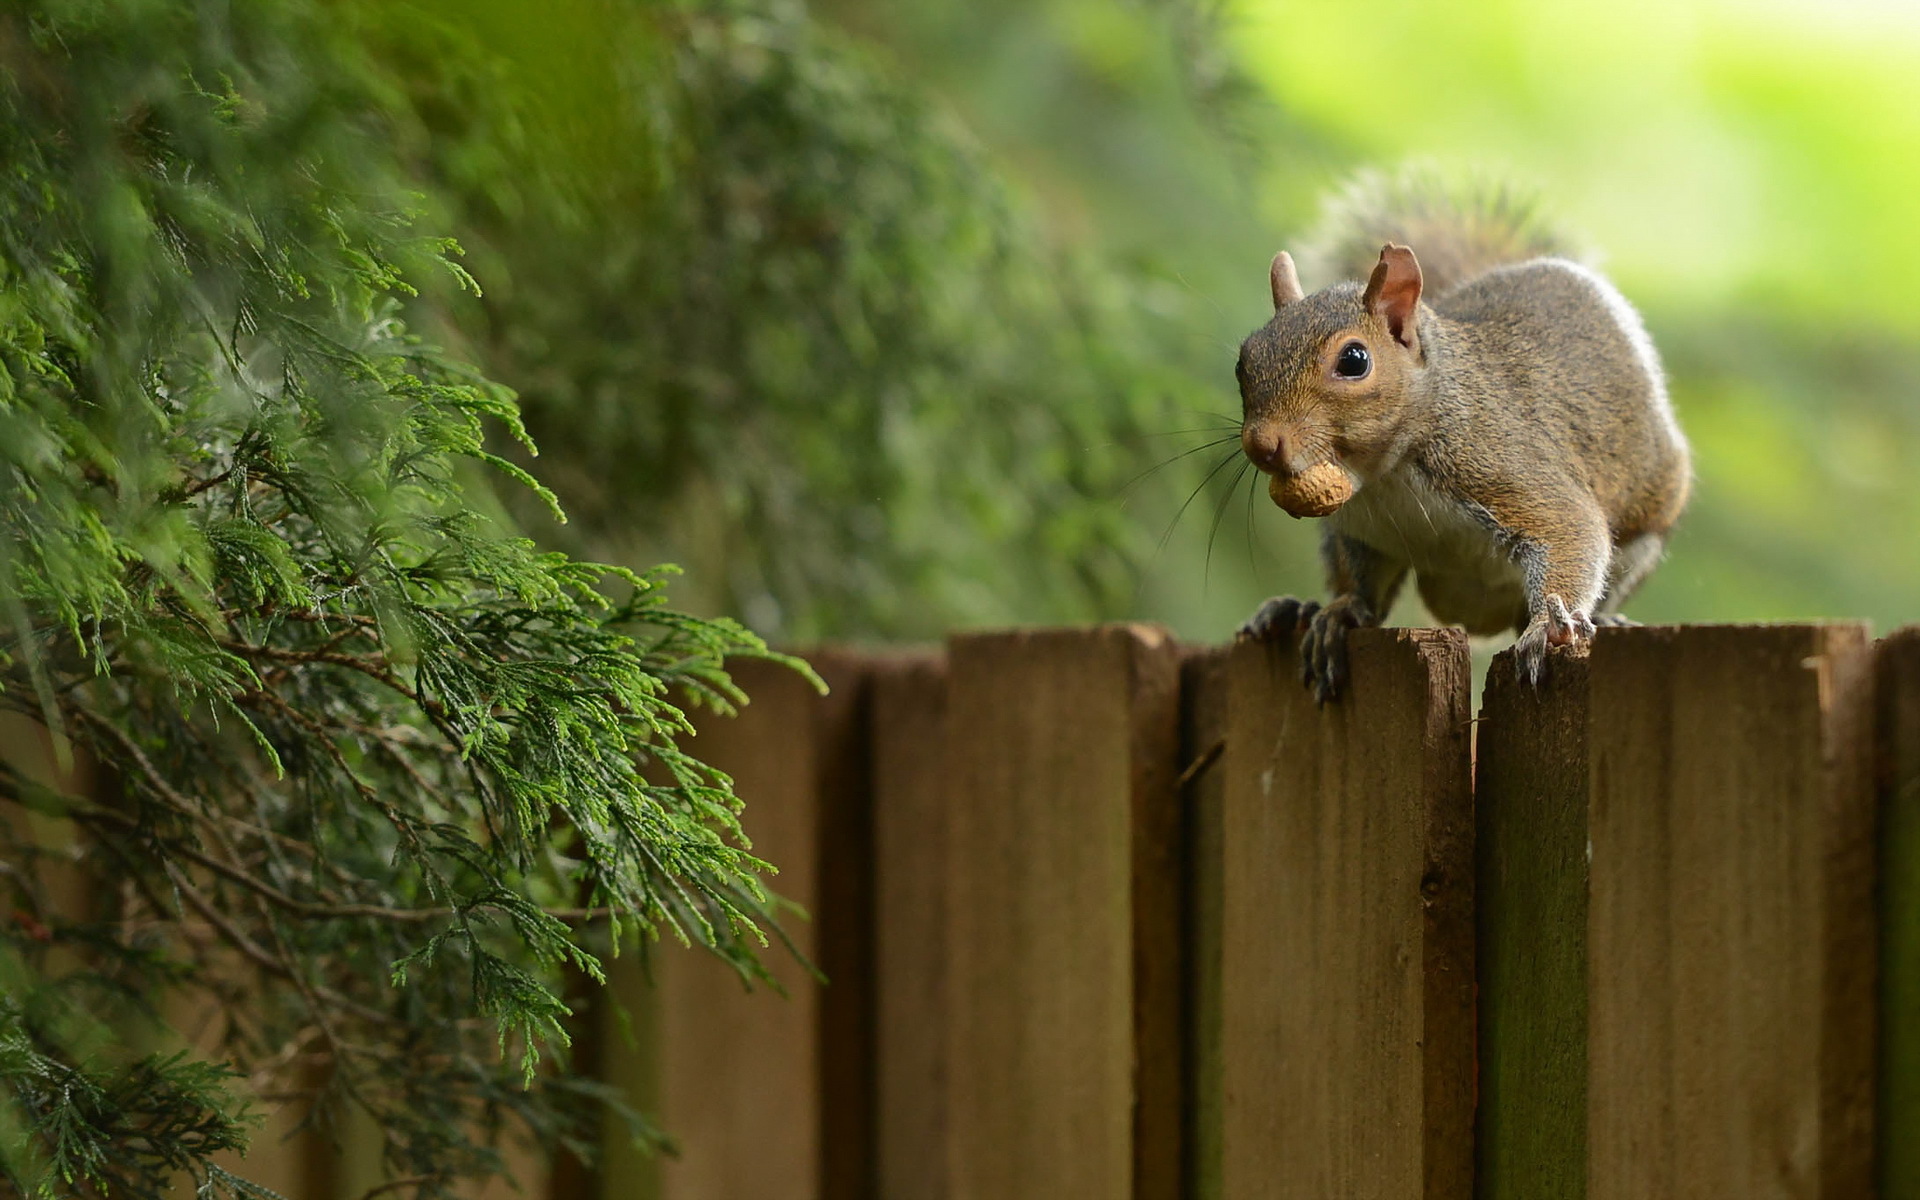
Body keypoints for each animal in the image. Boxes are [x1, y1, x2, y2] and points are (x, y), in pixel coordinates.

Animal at [1234, 170, 1691, 700]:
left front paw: (1549, 626)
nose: (1262, 444)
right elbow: (1365, 589)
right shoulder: (1361, 533)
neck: (1385, 475)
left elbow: (1570, 529)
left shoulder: (1504, 462)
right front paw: (1342, 613)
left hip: (1640, 539)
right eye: (1244, 360)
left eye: (1354, 360)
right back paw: (1297, 611)